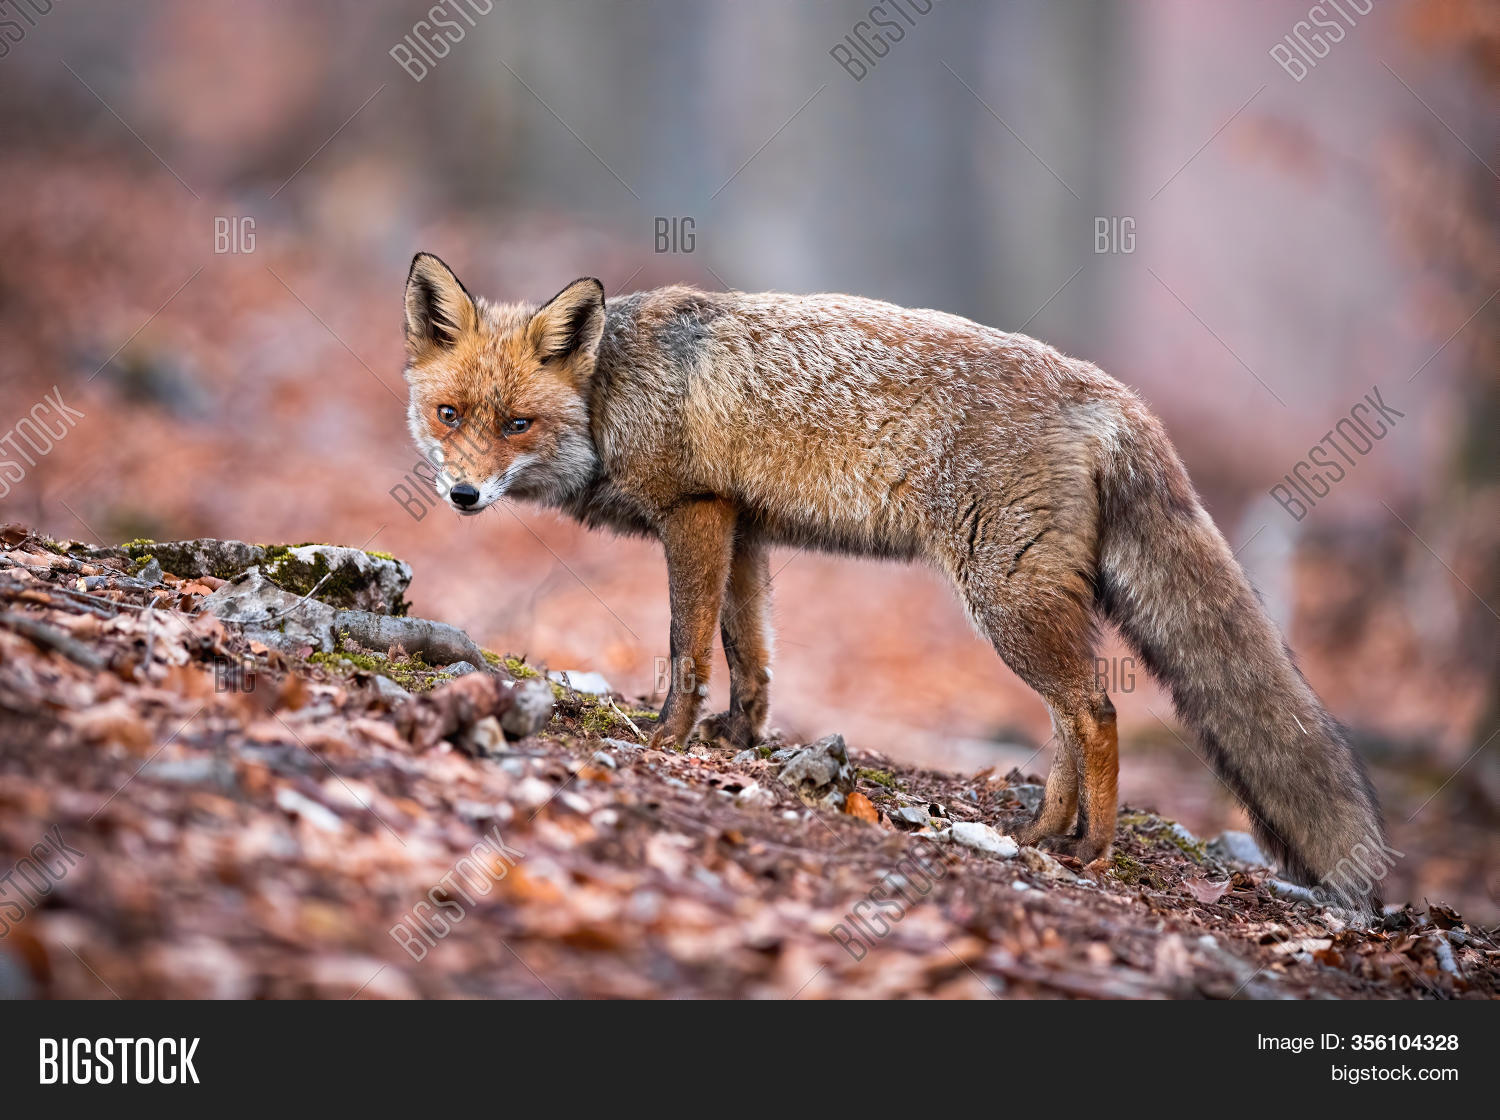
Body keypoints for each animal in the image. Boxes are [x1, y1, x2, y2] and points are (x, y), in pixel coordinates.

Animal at [400, 251, 1387, 911]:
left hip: (1006, 600)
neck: (612, 391)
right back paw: (1043, 831)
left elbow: (687, 647)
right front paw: (738, 741)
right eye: (449, 415)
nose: (462, 494)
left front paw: (669, 738)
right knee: (1069, 718)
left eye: (518, 425)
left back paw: (1093, 850)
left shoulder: (697, 512)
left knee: (1098, 713)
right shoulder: (745, 528)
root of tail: (1112, 393)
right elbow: (749, 654)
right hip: (1027, 605)